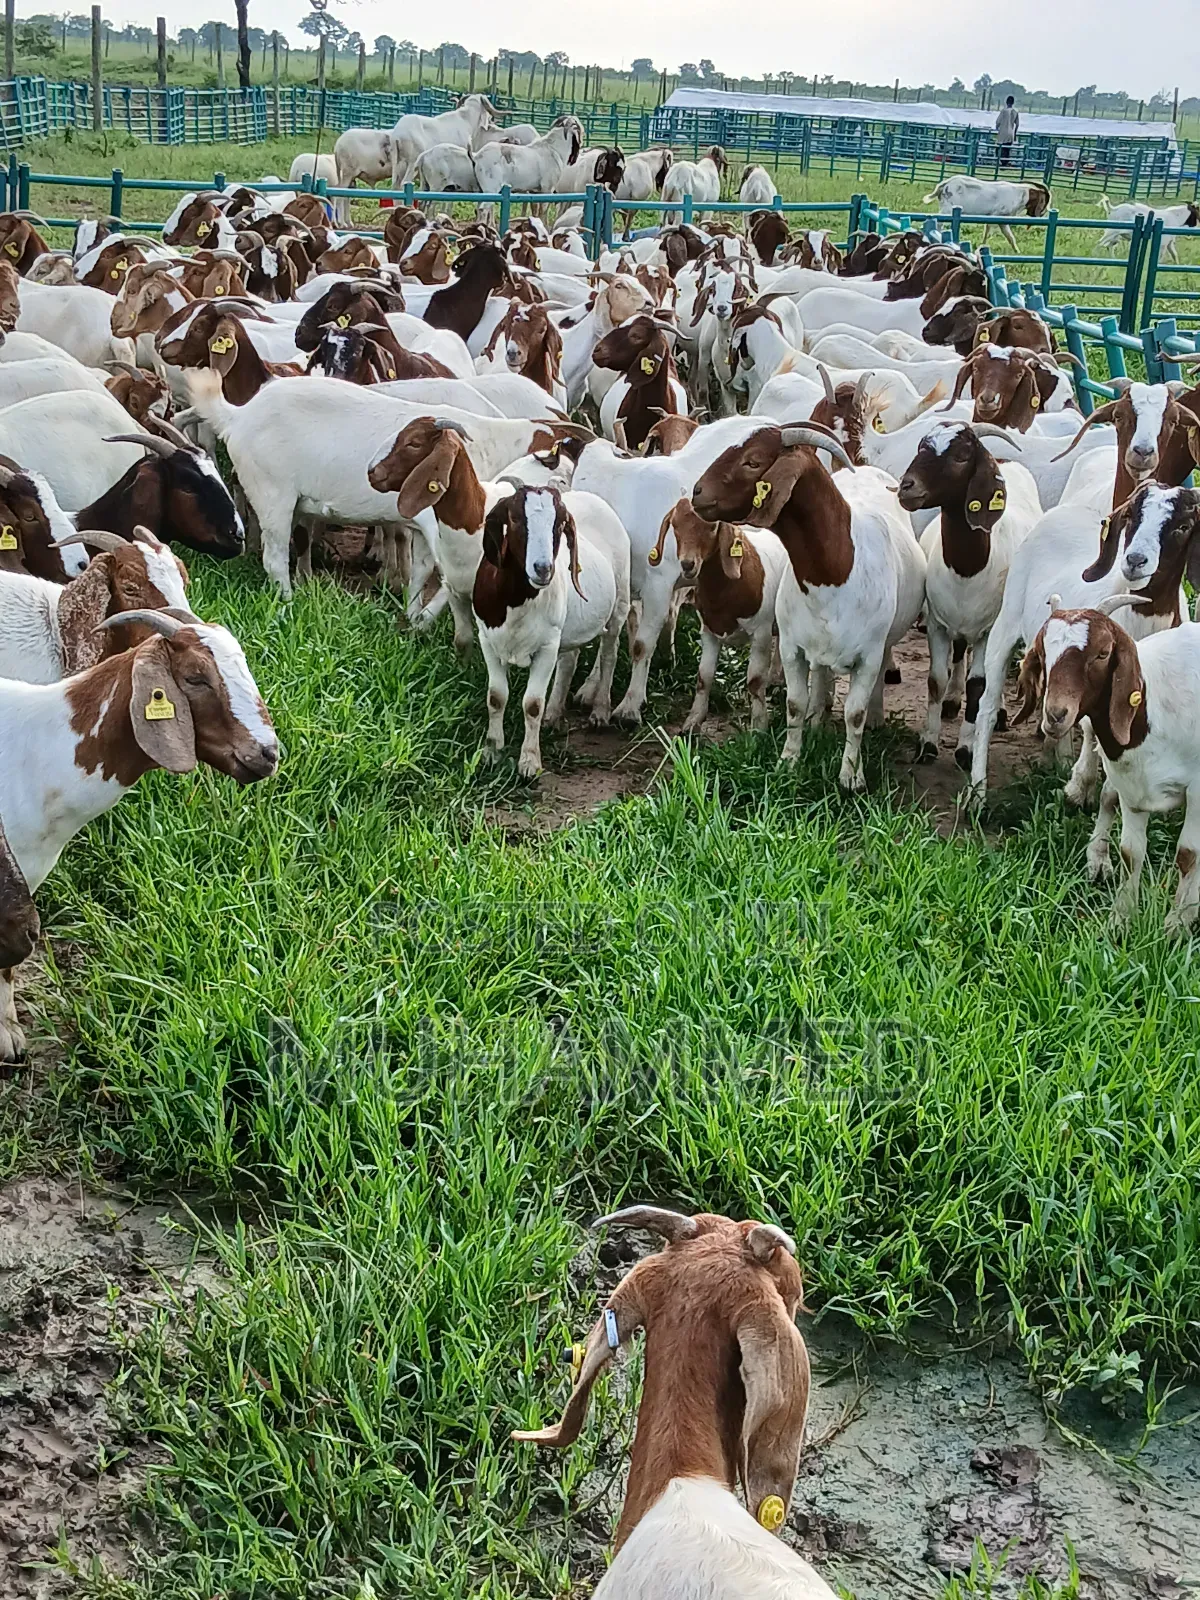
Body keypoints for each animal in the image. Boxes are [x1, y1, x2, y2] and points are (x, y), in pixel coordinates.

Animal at [471, 485, 629, 774]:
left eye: (559, 525)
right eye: (515, 519)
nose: (543, 569)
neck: (516, 600)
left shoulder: (546, 647)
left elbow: (532, 704)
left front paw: (530, 761)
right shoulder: (488, 640)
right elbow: (496, 697)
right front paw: (492, 751)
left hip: (619, 603)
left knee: (609, 653)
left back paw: (600, 711)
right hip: (567, 629)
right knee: (569, 660)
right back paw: (554, 713)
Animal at [692, 423, 922, 790]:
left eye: (753, 462)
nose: (697, 492)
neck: (835, 571)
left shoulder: (868, 656)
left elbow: (854, 714)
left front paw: (851, 777)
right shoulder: (792, 648)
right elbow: (795, 704)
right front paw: (788, 761)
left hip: (883, 642)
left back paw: (875, 718)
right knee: (822, 676)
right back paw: (817, 720)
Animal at [896, 423, 1043, 764]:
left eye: (962, 456)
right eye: (921, 447)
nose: (906, 487)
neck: (968, 569)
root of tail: (1005, 461)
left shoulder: (989, 630)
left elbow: (978, 686)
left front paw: (965, 749)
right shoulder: (936, 623)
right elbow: (935, 679)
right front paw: (928, 743)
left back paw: (998, 712)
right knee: (961, 649)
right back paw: (952, 700)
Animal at [1015, 596, 1200, 933]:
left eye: (1102, 653)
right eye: (1043, 654)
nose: (1056, 715)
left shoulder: (1198, 790)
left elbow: (1188, 854)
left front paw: (1177, 923)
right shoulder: (1132, 787)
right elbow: (1131, 853)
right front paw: (1121, 919)